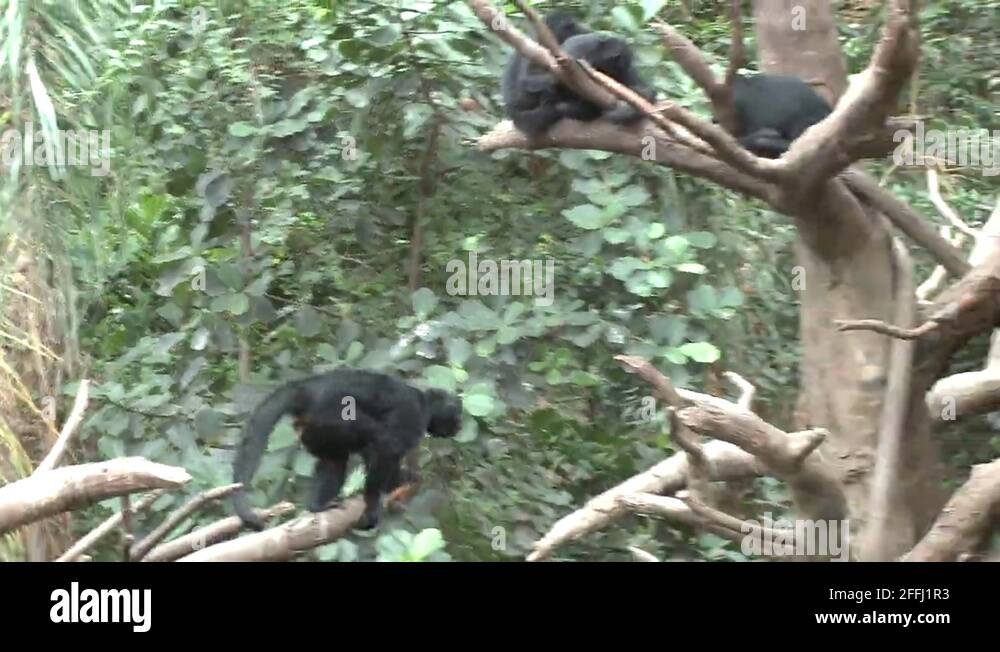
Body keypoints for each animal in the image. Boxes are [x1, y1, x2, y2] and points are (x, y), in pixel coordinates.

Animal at [231, 368, 462, 531]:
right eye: (457, 415)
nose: (459, 425)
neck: (424, 401)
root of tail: (308, 388)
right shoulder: (413, 413)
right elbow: (388, 447)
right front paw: (377, 501)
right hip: (332, 417)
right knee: (374, 434)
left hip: (314, 430)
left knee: (335, 460)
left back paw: (317, 506)